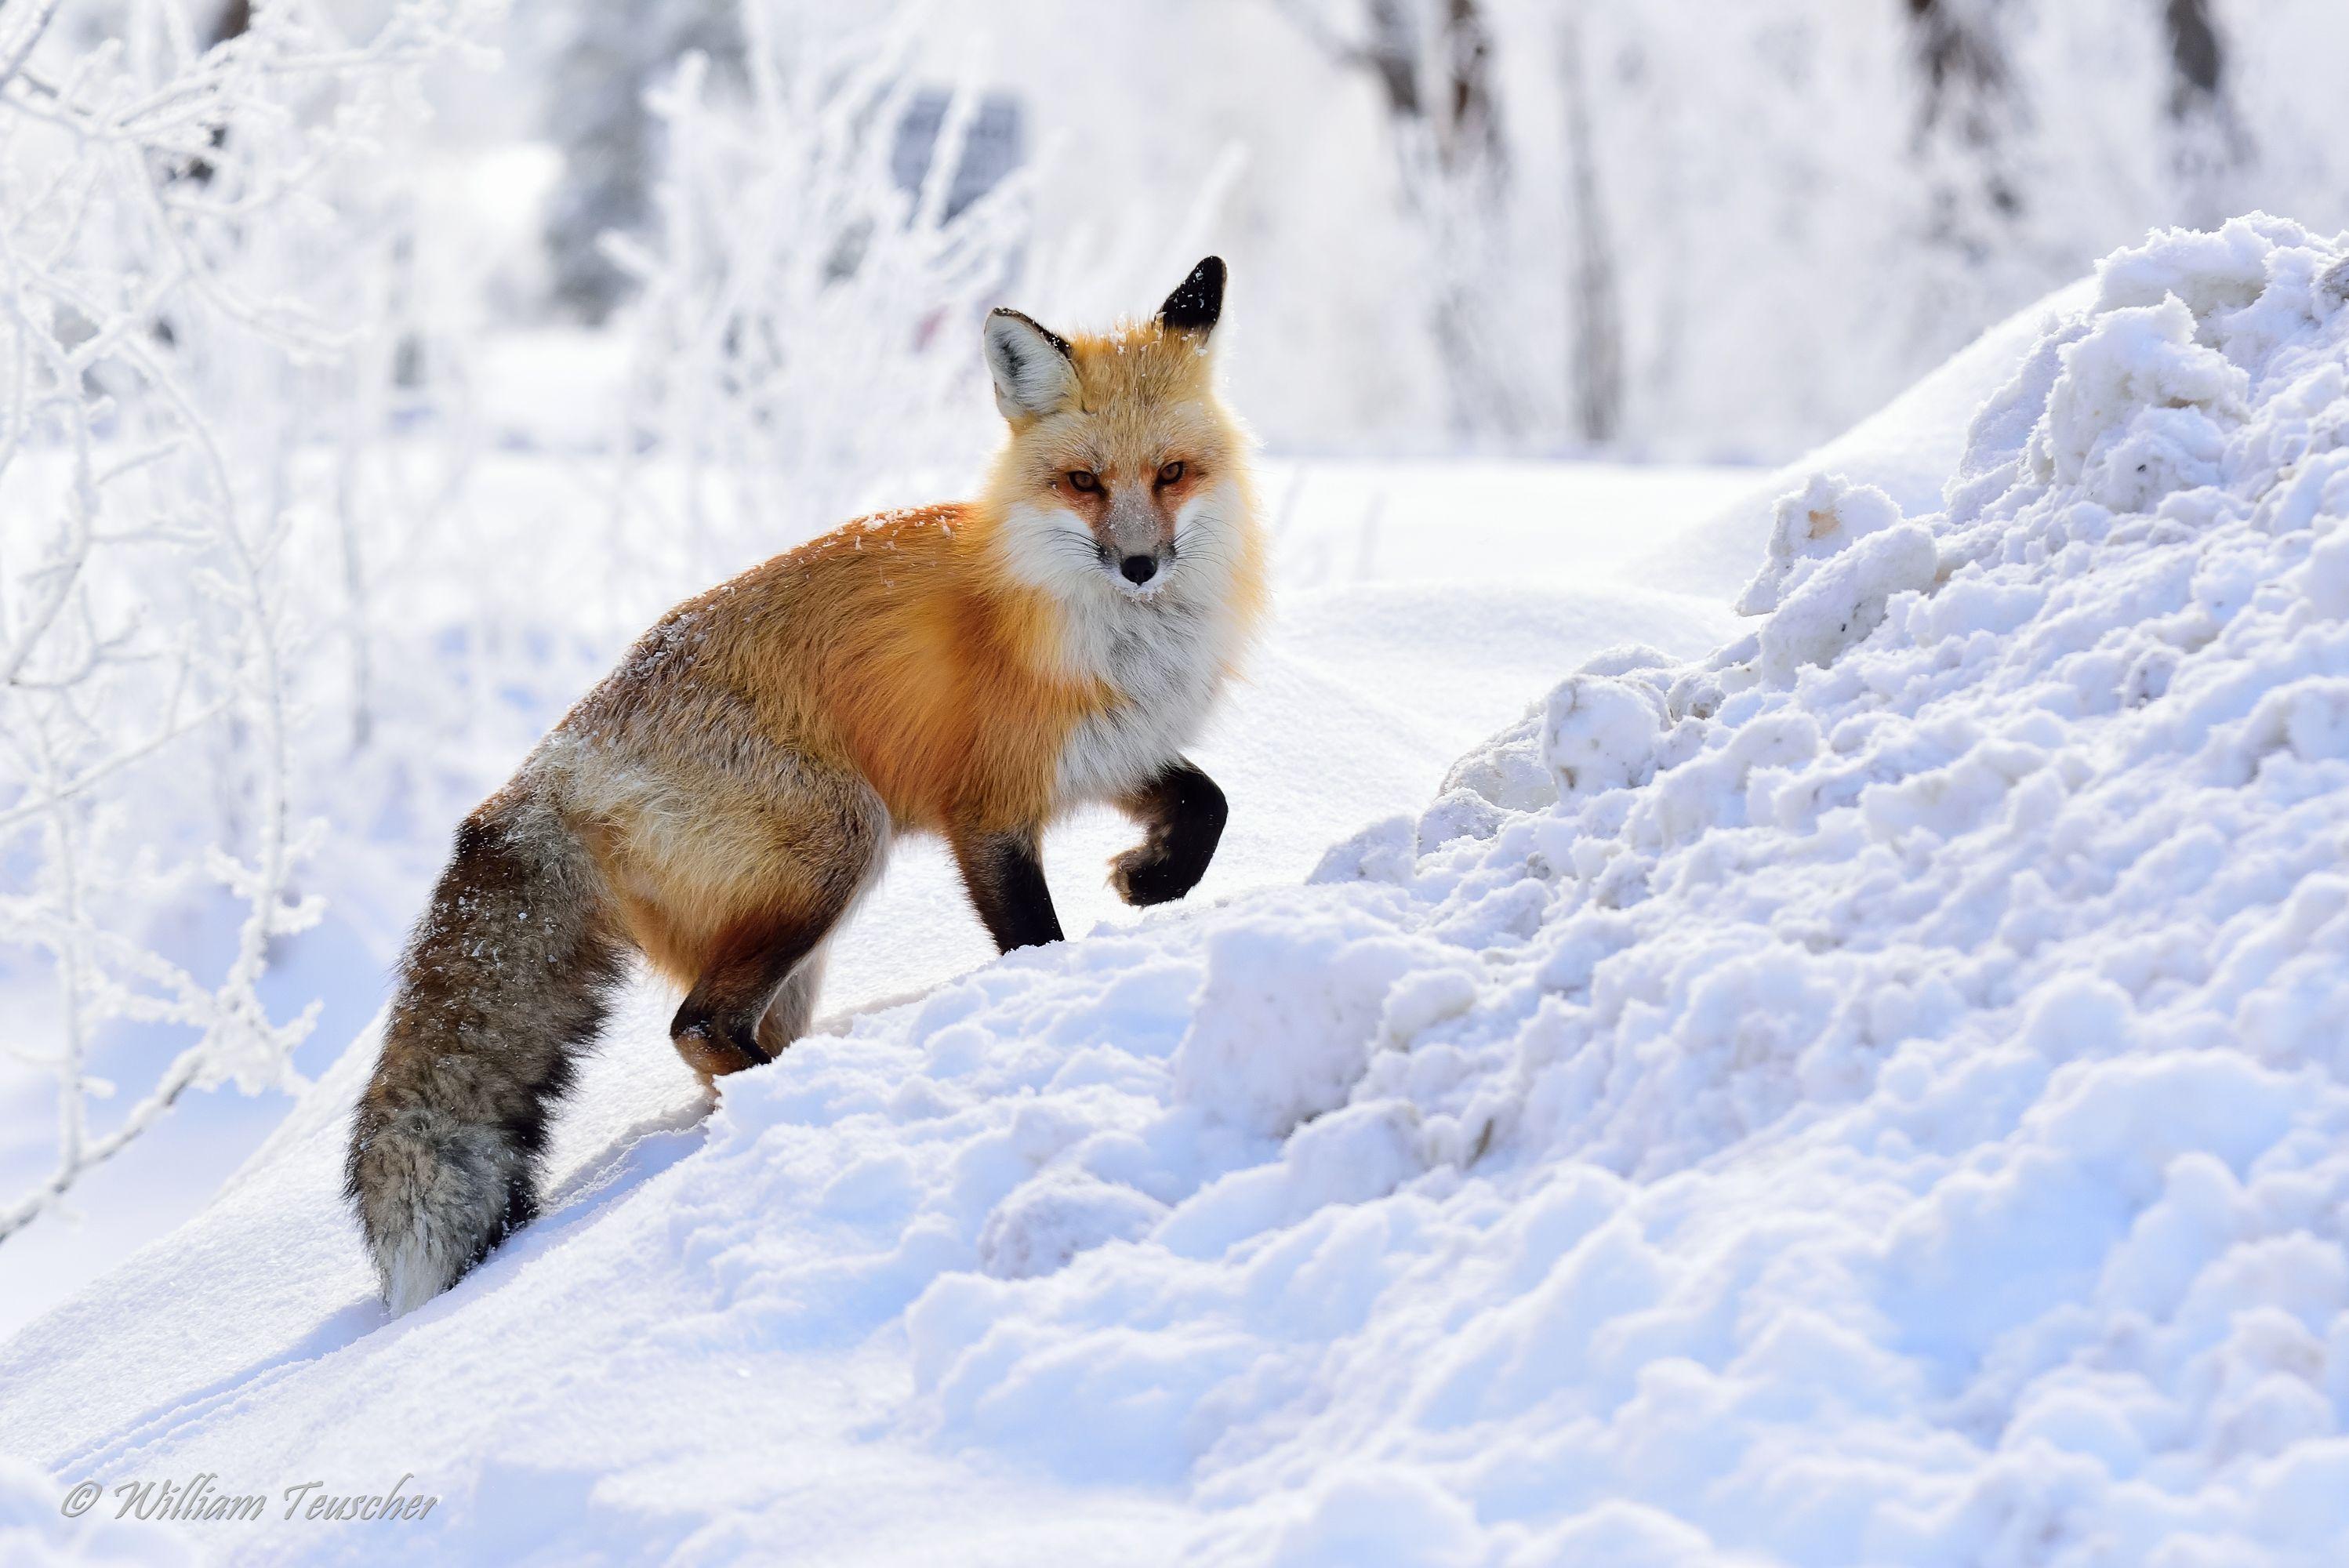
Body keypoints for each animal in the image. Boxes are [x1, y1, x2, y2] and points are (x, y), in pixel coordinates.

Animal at [345, 258, 1266, 1315]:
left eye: (1171, 472)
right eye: (1083, 482)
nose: (1140, 563)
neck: (1094, 631)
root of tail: (549, 768)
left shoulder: (1109, 751)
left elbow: (1207, 804)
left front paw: (1149, 879)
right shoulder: (985, 810)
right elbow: (1035, 937)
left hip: (795, 931)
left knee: (716, 1033)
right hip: (835, 851)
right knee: (697, 1023)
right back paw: (805, 1084)